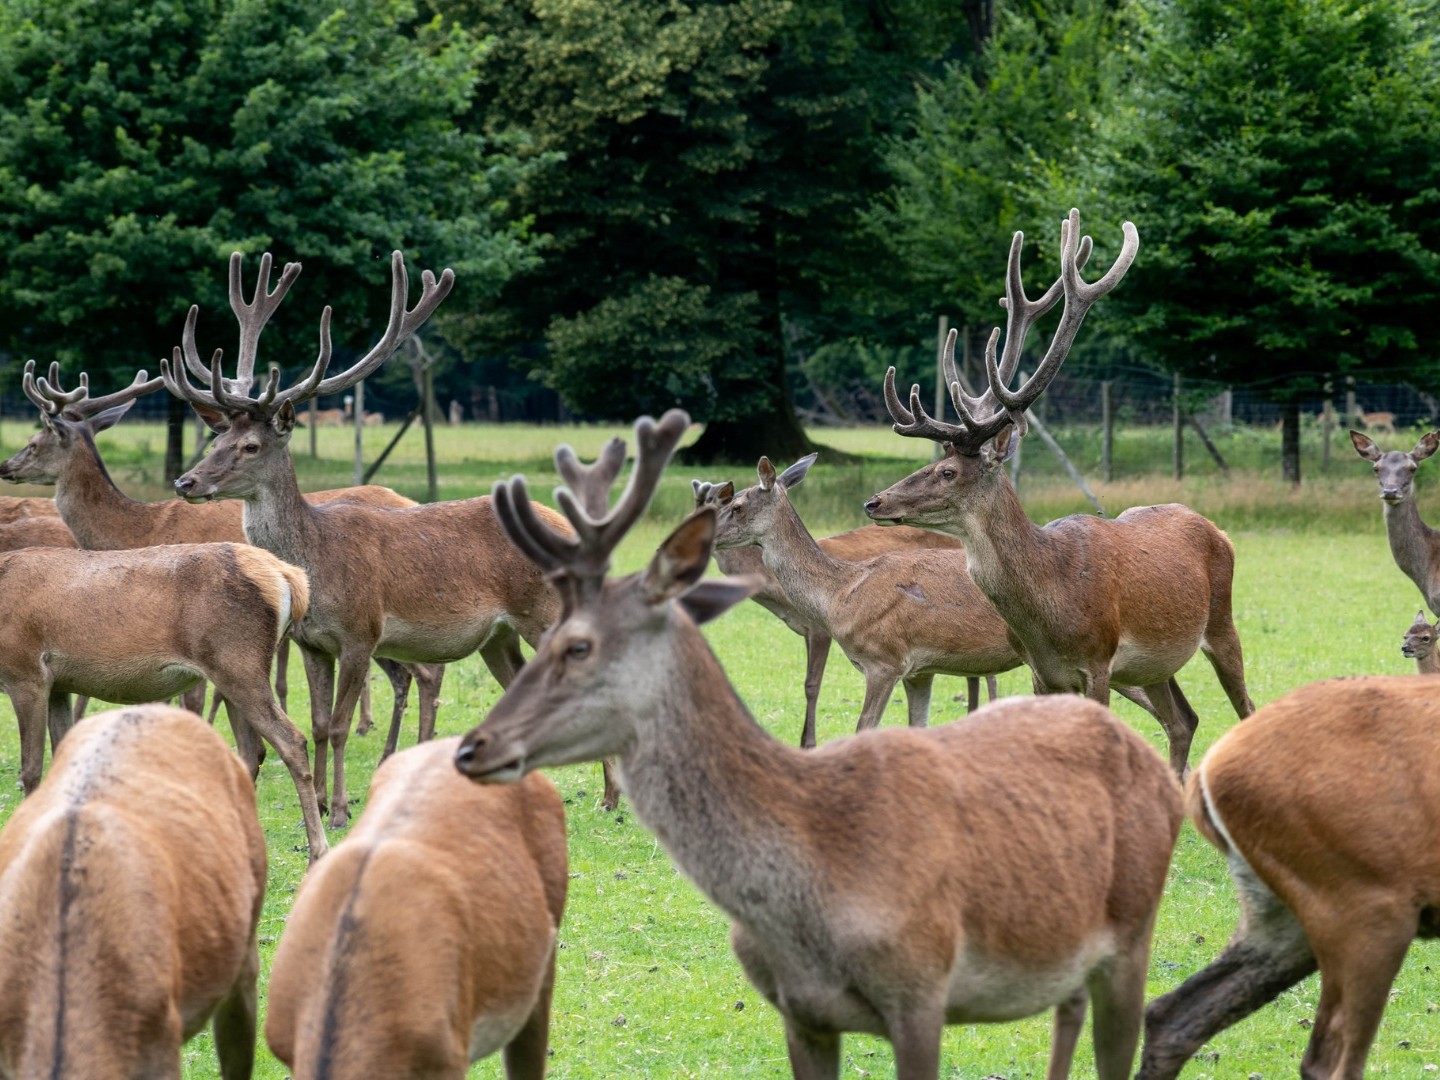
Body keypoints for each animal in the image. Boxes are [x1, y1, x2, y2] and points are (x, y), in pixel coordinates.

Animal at [0, 358, 443, 752]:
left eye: (33, 442)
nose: (6, 466)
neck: (137, 528)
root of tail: (407, 499)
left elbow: (198, 696)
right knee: (408, 672)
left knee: (422, 669)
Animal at [0, 540, 330, 860]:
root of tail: (290, 577)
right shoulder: (58, 685)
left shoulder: (26, 672)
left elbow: (31, 769)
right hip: (233, 673)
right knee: (251, 751)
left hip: (238, 664)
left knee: (291, 741)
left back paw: (318, 851)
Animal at [160, 250, 615, 825]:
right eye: (217, 438)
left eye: (250, 446)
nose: (186, 482)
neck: (317, 562)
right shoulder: (311, 642)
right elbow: (316, 724)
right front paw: (326, 803)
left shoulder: (361, 631)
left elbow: (337, 726)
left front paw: (338, 810)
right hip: (500, 634)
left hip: (545, 610)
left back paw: (610, 798)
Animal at [710, 454, 1020, 737]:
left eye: (736, 505)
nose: (705, 533)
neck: (842, 594)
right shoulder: (920, 670)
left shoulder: (885, 661)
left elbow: (864, 728)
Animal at [863, 209, 1254, 778]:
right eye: (932, 463)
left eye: (948, 473)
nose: (875, 502)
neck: (1050, 606)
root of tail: (1216, 529)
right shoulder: (1041, 672)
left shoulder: (1097, 661)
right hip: (1153, 665)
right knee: (1184, 719)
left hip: (1221, 623)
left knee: (1245, 707)